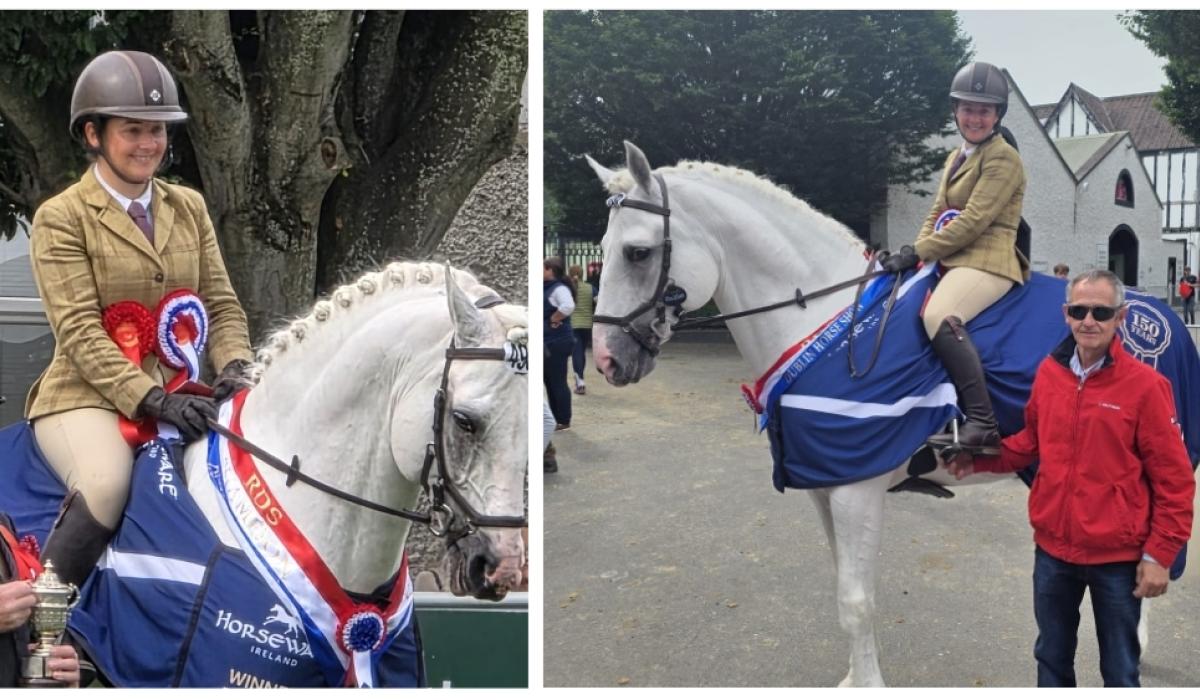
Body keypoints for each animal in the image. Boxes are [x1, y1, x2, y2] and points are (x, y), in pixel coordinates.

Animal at [583, 141, 1198, 686]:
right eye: (603, 249)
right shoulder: (825, 488)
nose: (607, 359)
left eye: (637, 252)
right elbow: (844, 591)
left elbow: (855, 602)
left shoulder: (858, 490)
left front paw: (868, 685)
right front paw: (853, 679)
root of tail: (1157, 311)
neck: (830, 323)